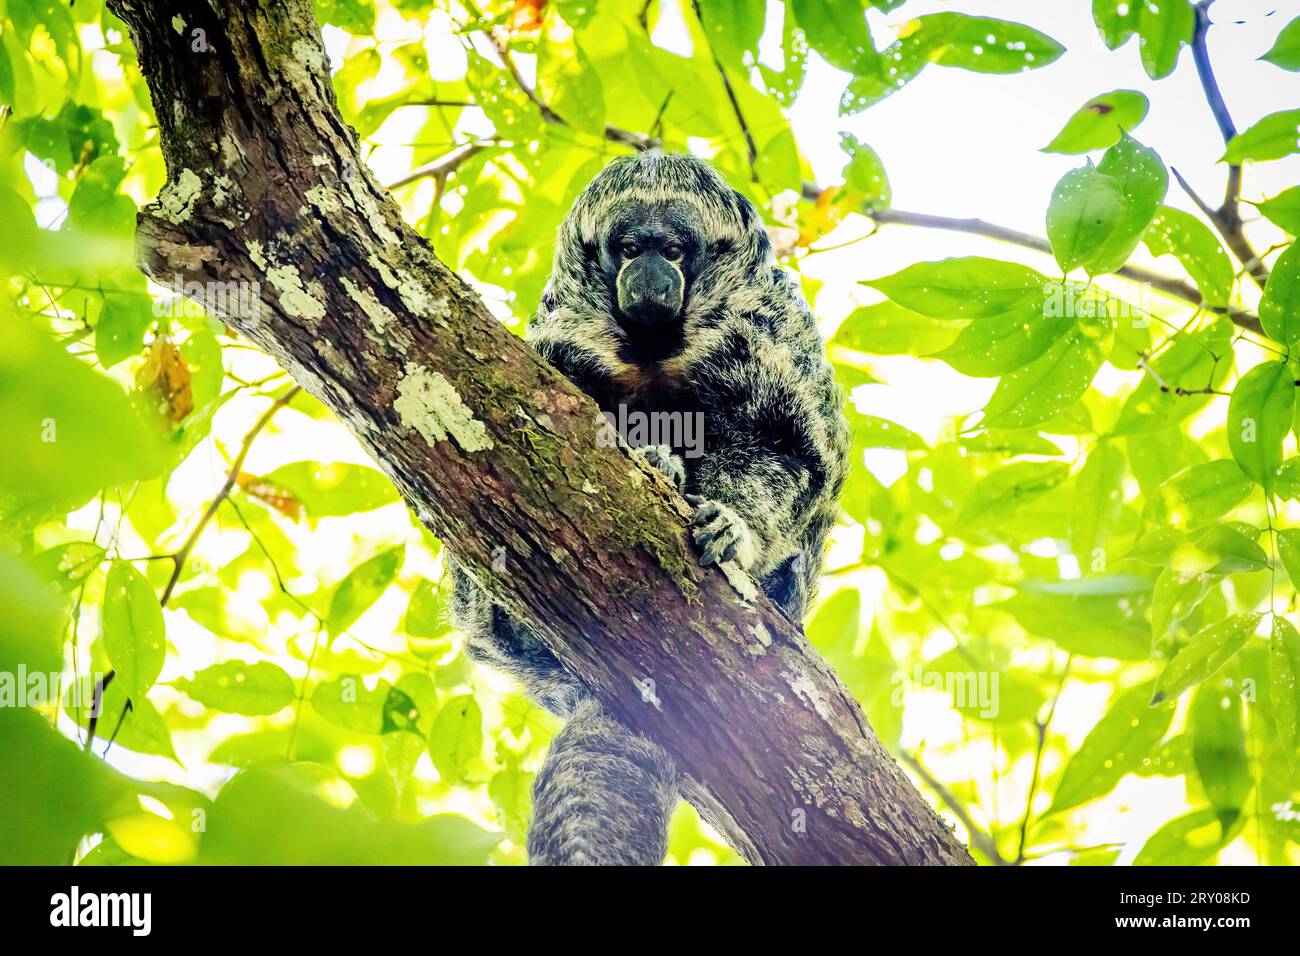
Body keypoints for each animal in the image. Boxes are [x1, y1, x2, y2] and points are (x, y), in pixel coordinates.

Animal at [449, 151, 850, 865]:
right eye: (630, 248)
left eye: (674, 249)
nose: (650, 272)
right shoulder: (562, 334)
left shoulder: (770, 332)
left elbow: (791, 452)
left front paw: (732, 527)